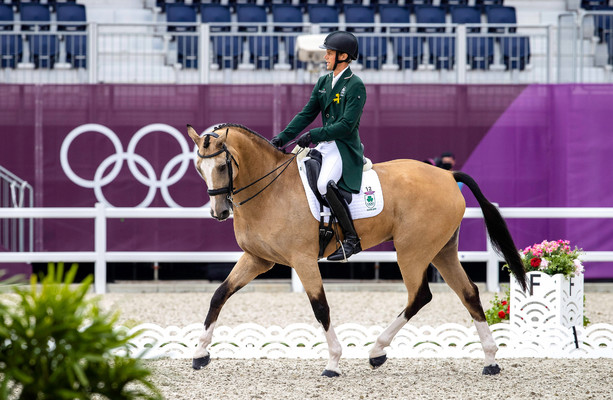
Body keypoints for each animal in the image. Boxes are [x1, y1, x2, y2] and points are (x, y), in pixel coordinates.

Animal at [184, 123, 524, 376]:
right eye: (200, 167)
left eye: (222, 165)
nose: (218, 212)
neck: (270, 190)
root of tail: (448, 175)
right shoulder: (257, 259)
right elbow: (219, 295)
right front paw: (200, 353)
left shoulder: (303, 260)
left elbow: (321, 308)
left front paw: (333, 362)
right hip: (442, 251)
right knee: (468, 293)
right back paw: (490, 360)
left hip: (412, 251)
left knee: (420, 296)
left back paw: (377, 351)